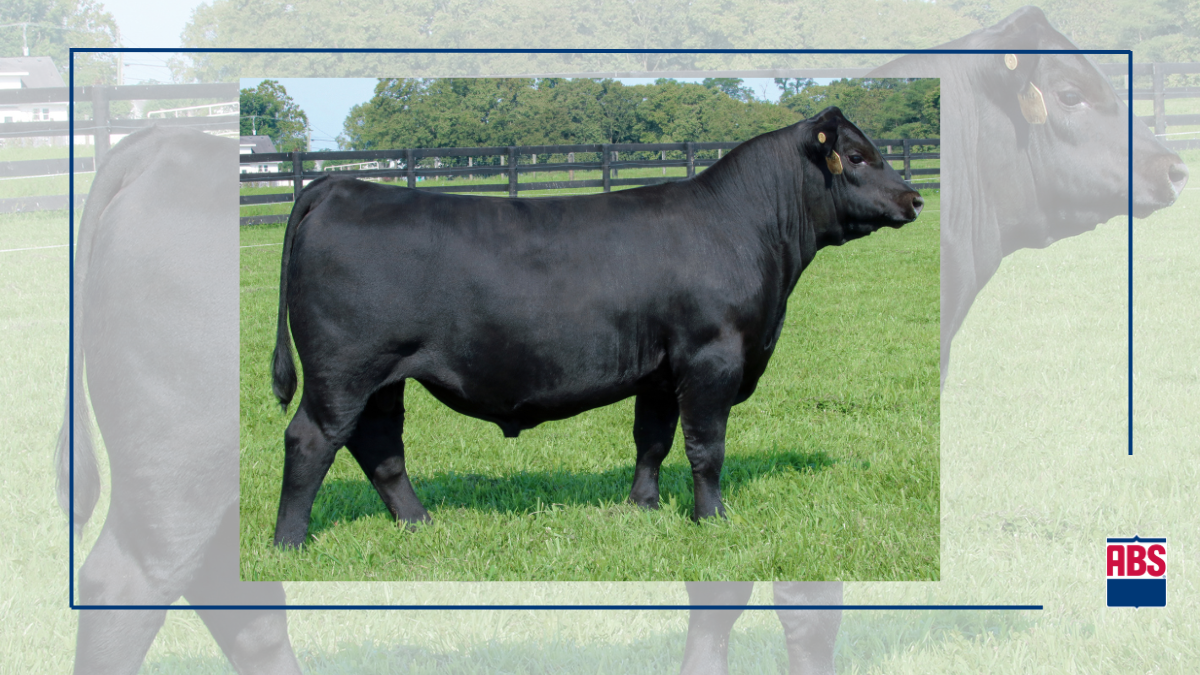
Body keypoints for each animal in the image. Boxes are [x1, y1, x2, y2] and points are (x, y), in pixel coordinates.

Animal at [270, 106, 925, 548]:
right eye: (858, 157)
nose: (914, 198)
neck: (743, 226)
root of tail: (341, 184)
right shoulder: (711, 357)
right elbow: (706, 446)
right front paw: (710, 519)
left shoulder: (661, 372)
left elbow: (652, 440)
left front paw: (642, 508)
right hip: (344, 370)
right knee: (312, 440)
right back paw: (290, 543)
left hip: (382, 378)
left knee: (378, 444)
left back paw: (419, 523)